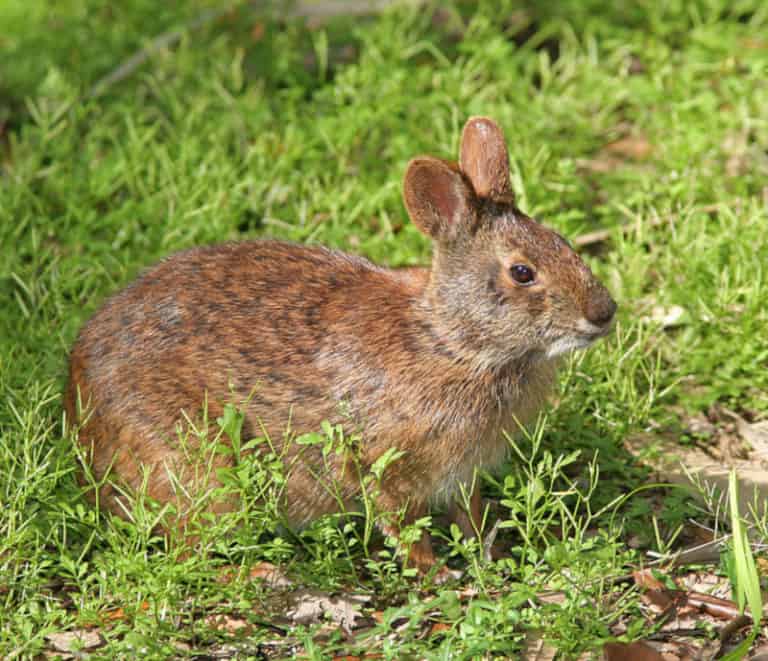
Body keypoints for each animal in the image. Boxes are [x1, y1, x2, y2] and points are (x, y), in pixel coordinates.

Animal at [65, 117, 616, 576]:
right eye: (522, 272)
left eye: (563, 242)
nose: (604, 312)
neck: (452, 342)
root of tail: (80, 425)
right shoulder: (384, 463)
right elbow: (405, 526)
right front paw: (436, 574)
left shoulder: (463, 473)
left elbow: (471, 515)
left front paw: (492, 557)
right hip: (199, 467)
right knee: (188, 549)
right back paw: (260, 573)